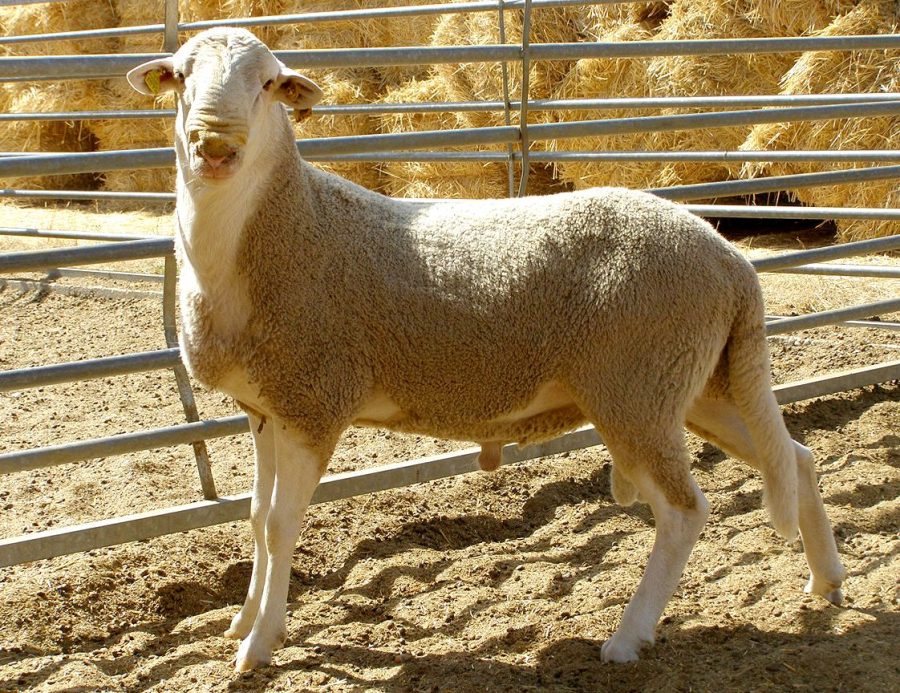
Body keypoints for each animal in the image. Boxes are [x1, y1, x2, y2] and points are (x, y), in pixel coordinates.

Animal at [126, 28, 846, 672]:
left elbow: (280, 526)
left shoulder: (313, 401)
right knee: (795, 458)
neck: (287, 226)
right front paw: (243, 620)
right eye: (182, 78)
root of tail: (731, 261)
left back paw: (627, 637)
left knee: (685, 512)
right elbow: (253, 519)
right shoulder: (267, 408)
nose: (215, 145)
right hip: (693, 385)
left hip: (637, 388)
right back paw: (827, 582)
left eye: (270, 85)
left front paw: (258, 645)